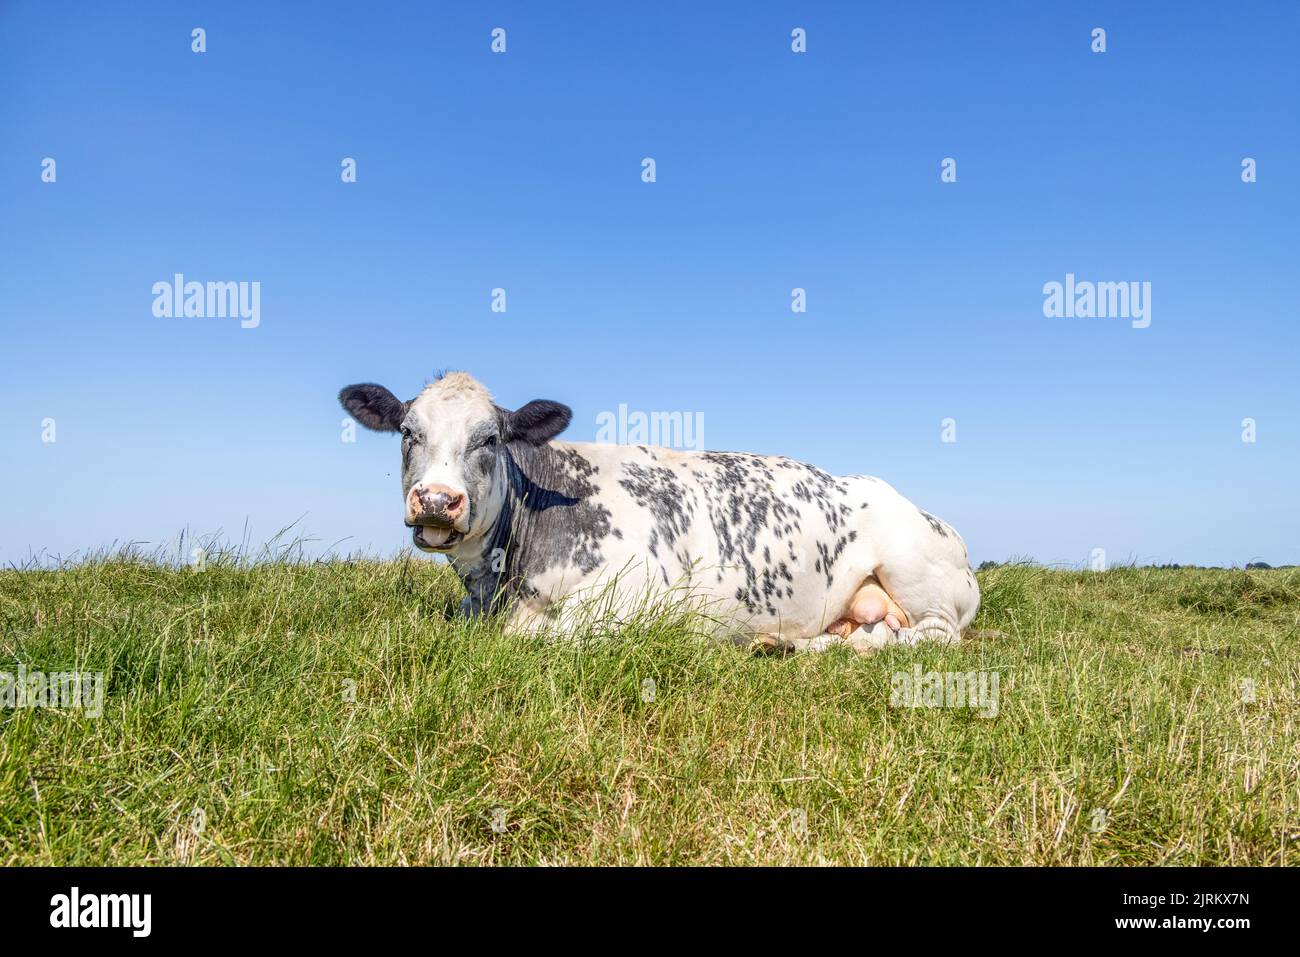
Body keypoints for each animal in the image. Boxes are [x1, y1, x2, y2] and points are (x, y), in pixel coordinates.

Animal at [339, 372, 980, 652]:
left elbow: (548, 635)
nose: (437, 500)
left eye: (489, 438)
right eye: (407, 432)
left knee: (929, 636)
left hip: (917, 573)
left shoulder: (635, 592)